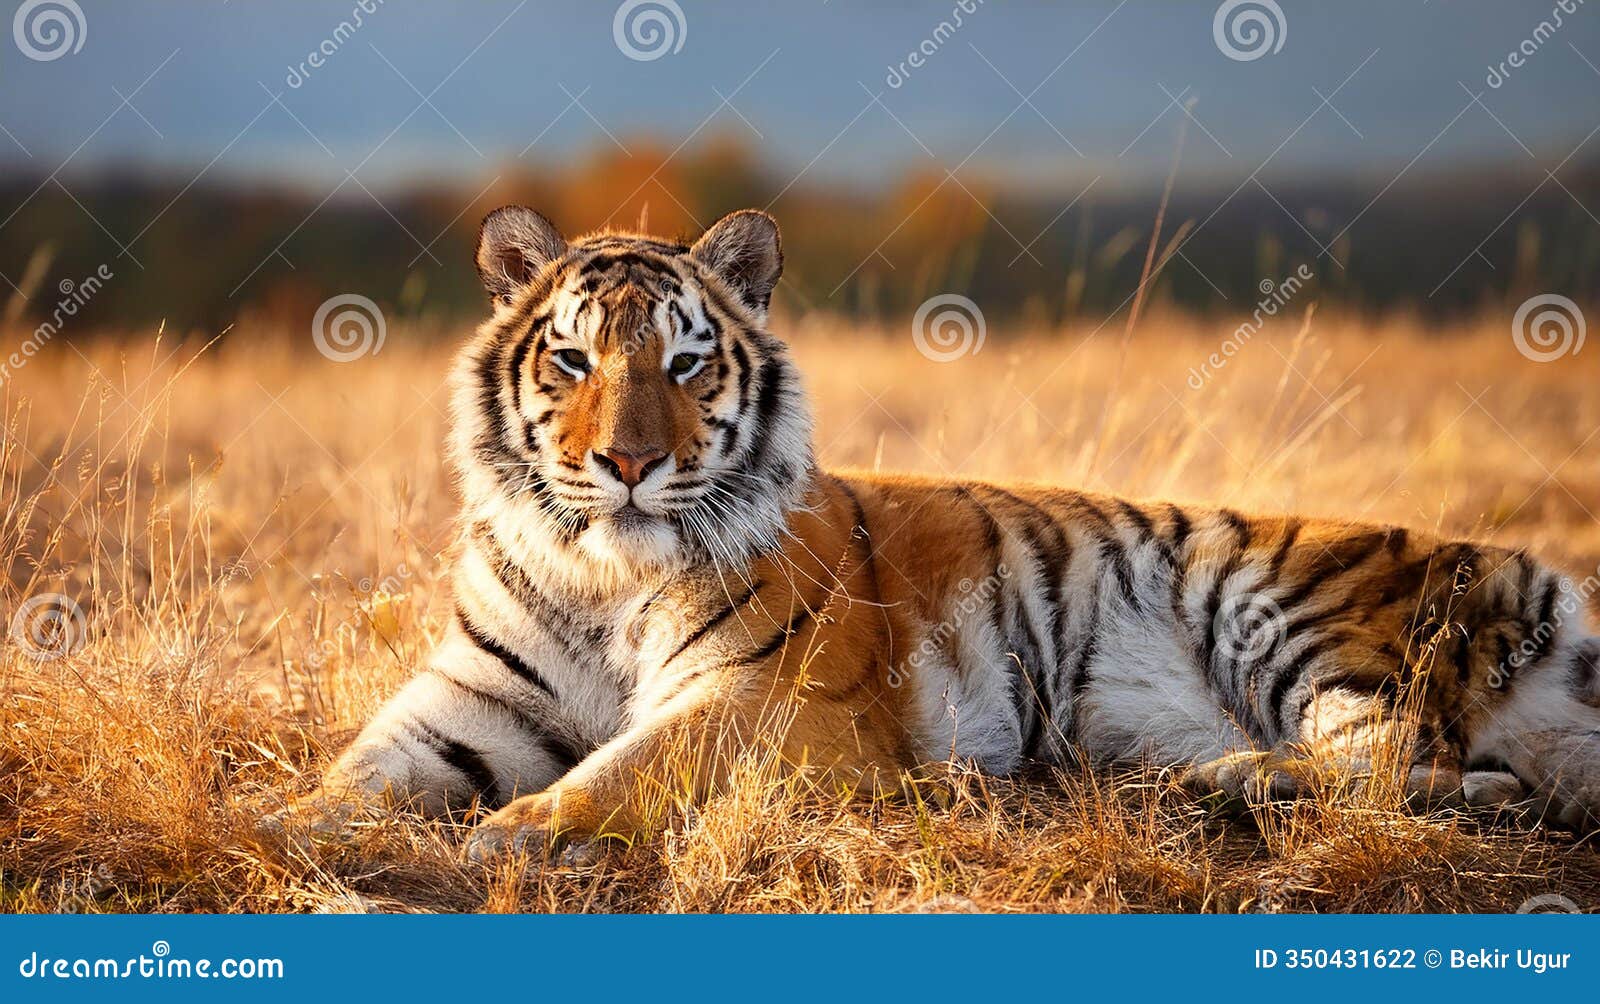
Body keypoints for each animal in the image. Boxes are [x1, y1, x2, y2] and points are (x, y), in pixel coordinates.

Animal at [272, 206, 1600, 861]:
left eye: (687, 364)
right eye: (574, 359)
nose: (630, 464)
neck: (599, 570)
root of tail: (1536, 573)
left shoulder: (769, 702)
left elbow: (627, 768)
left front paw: (514, 836)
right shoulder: (469, 702)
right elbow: (357, 772)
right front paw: (280, 826)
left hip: (1284, 610)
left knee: (1401, 768)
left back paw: (1245, 784)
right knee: (1454, 777)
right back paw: (1233, 782)